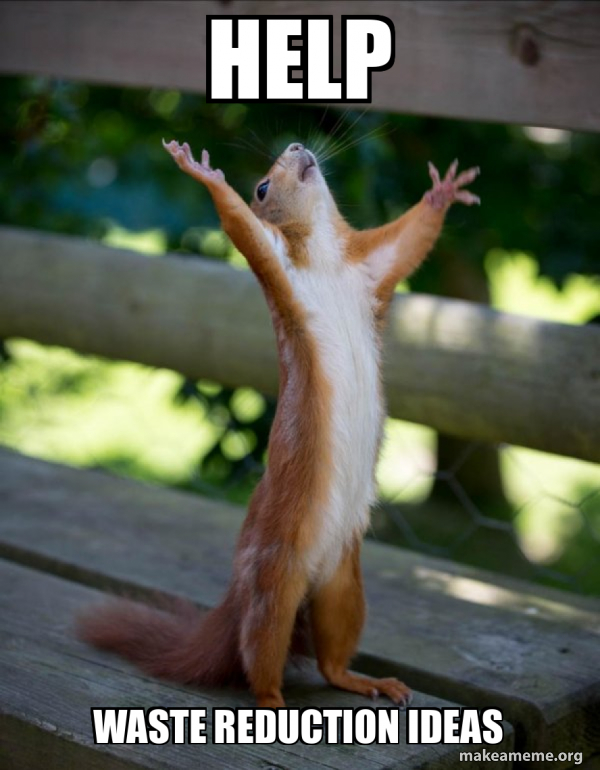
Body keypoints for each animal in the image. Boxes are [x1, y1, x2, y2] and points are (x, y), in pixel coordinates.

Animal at [78, 138, 479, 709]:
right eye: (262, 187)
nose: (296, 146)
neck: (327, 258)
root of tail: (238, 595)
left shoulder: (372, 267)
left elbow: (410, 240)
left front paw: (442, 192)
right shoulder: (277, 264)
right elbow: (240, 225)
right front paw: (203, 173)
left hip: (344, 586)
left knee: (332, 658)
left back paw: (366, 680)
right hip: (274, 583)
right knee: (258, 655)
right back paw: (274, 701)